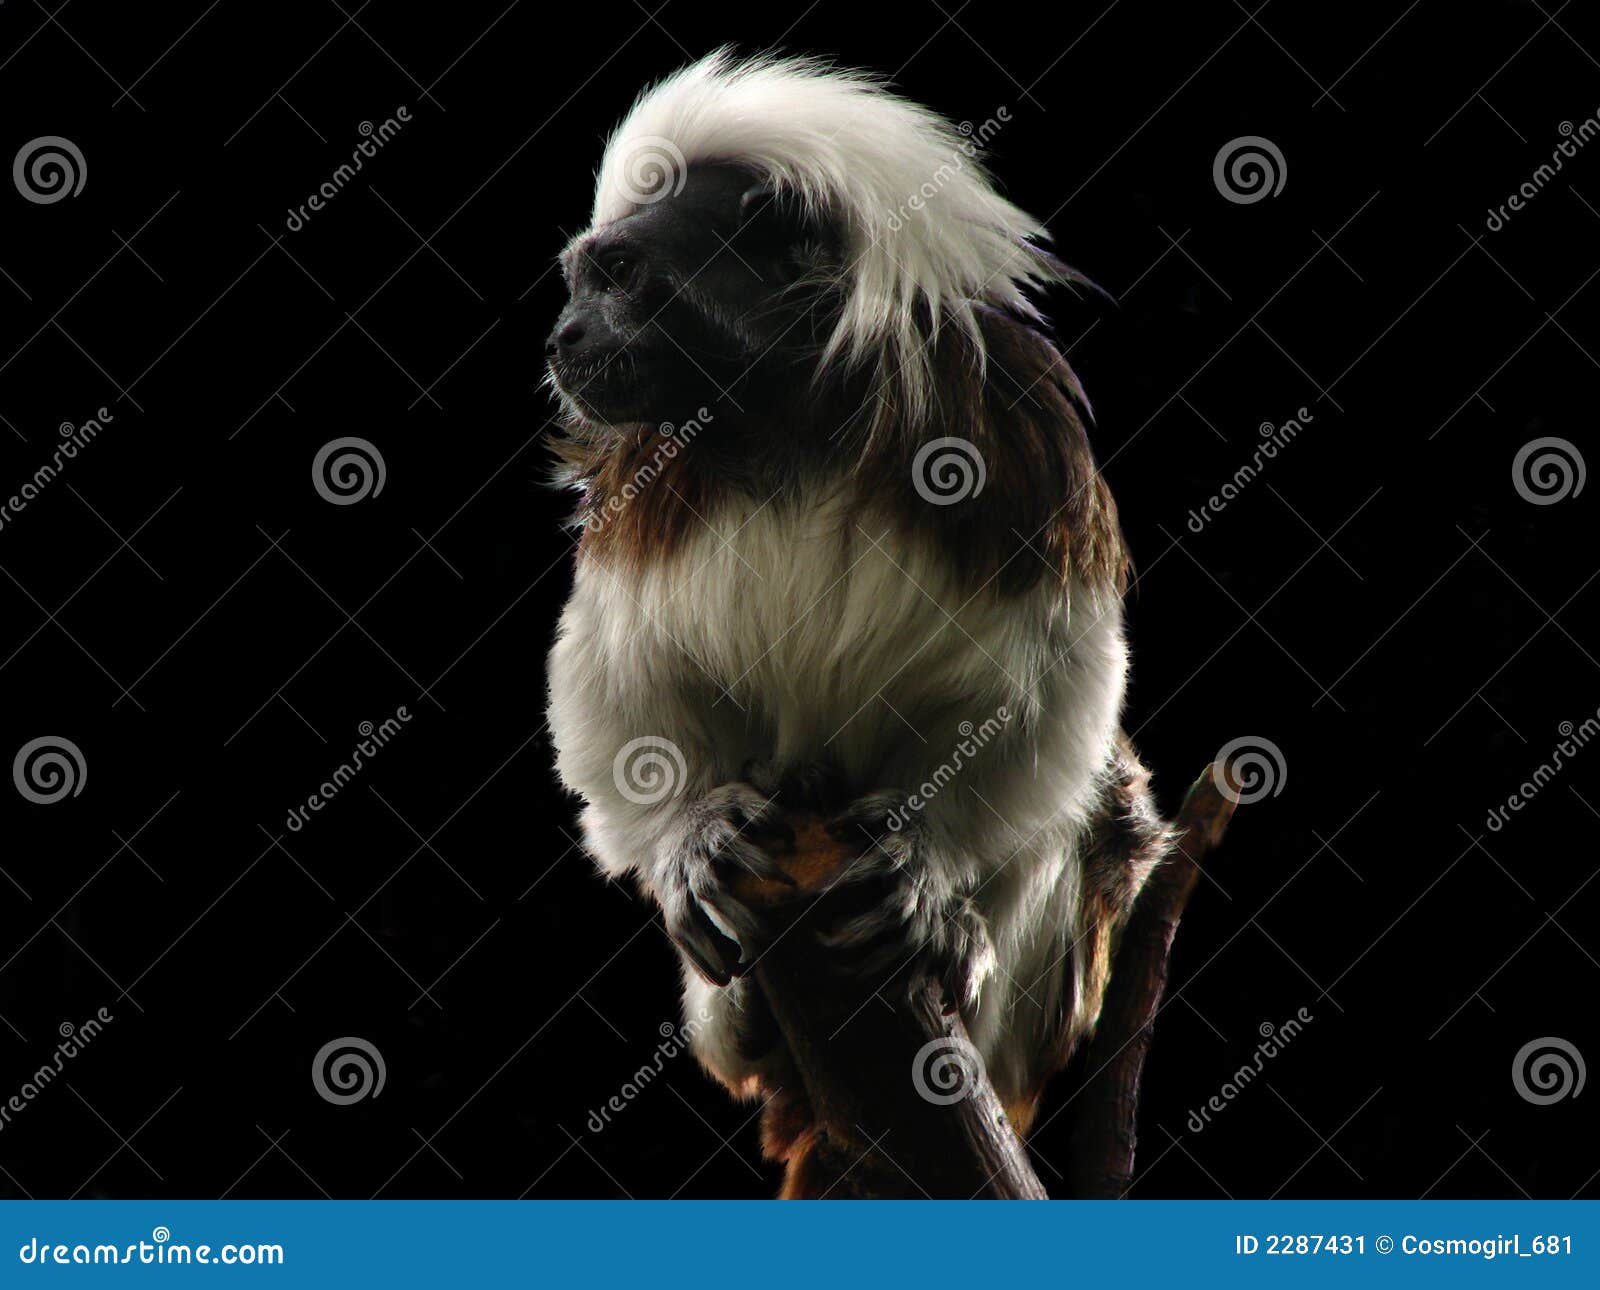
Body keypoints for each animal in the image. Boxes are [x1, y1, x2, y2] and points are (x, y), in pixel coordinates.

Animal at [543, 51, 1175, 1190]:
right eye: (582, 282)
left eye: (618, 276)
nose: (562, 337)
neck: (790, 416)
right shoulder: (642, 474)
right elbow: (620, 676)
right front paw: (686, 835)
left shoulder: (1016, 436)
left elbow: (1055, 679)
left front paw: (929, 870)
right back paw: (742, 1017)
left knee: (1100, 812)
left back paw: (959, 966)